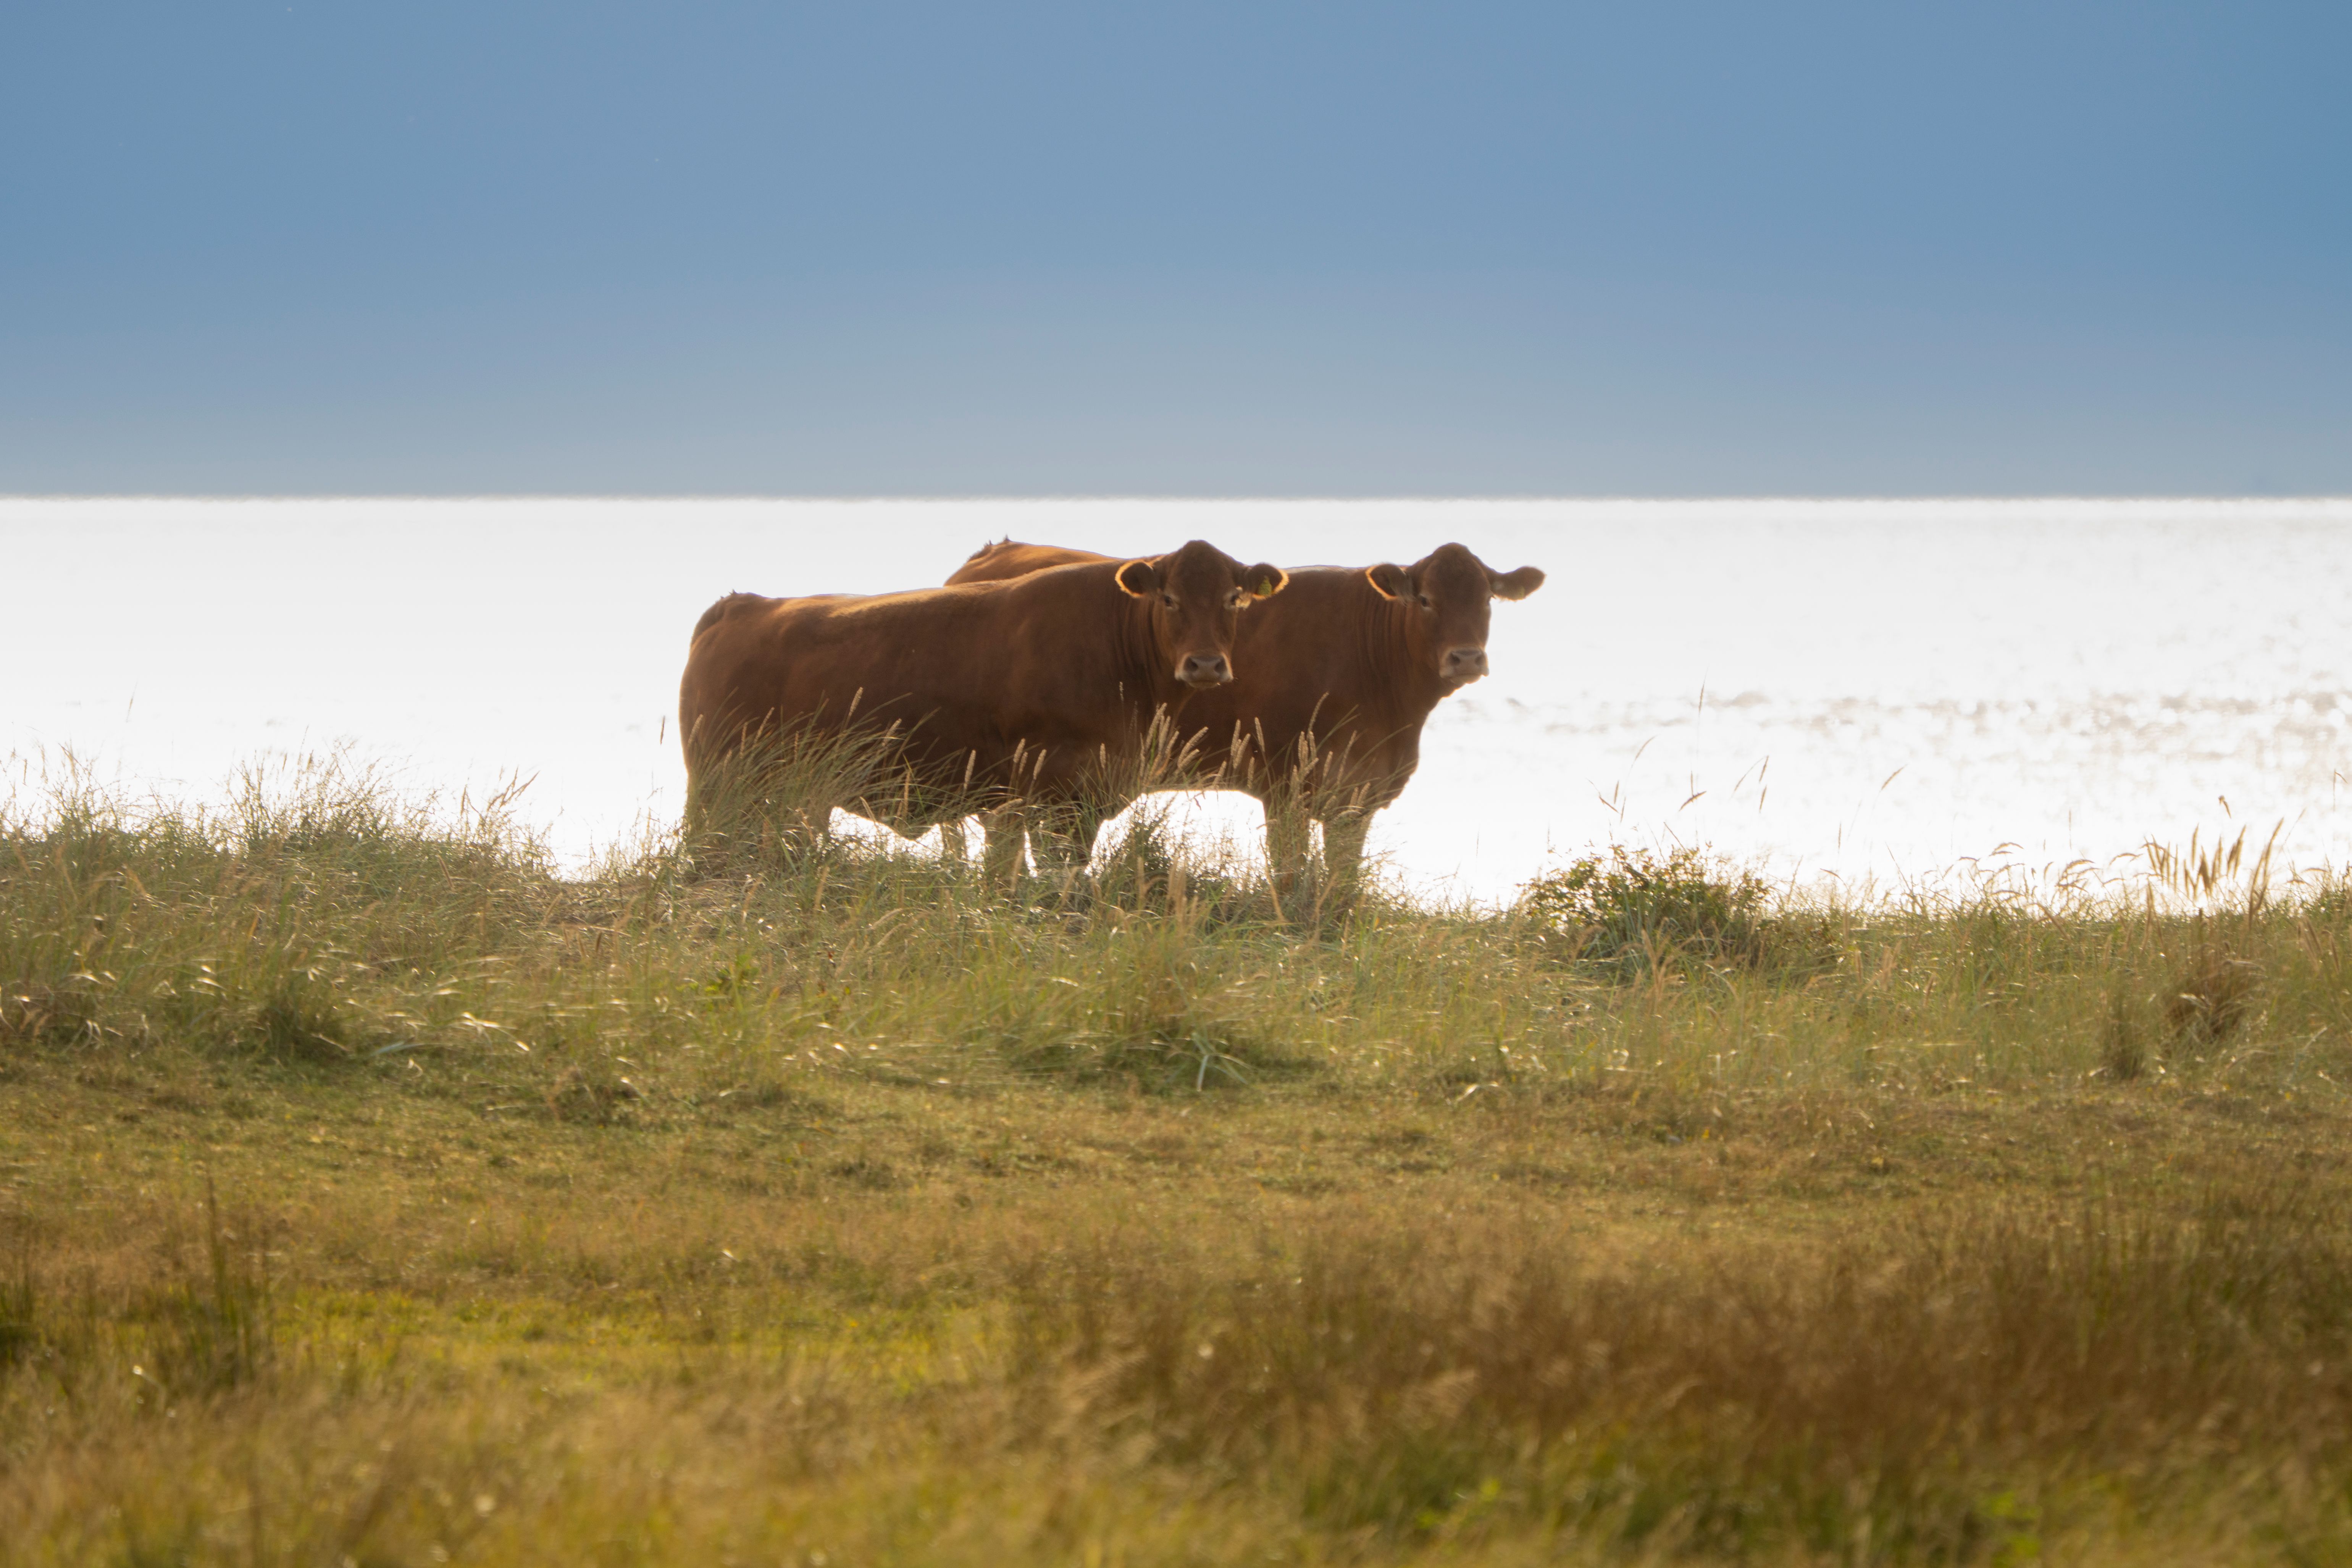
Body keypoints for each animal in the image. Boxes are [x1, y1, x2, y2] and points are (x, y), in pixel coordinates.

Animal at [678, 539, 1287, 885]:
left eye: (1234, 599)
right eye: (1169, 599)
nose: (1205, 664)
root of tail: (739, 604)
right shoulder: (1055, 789)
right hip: (718, 784)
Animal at [945, 538, 1545, 908]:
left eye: (1487, 599)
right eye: (1424, 599)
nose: (1465, 658)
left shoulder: (1355, 793)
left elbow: (1343, 880)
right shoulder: (1284, 782)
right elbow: (1291, 872)